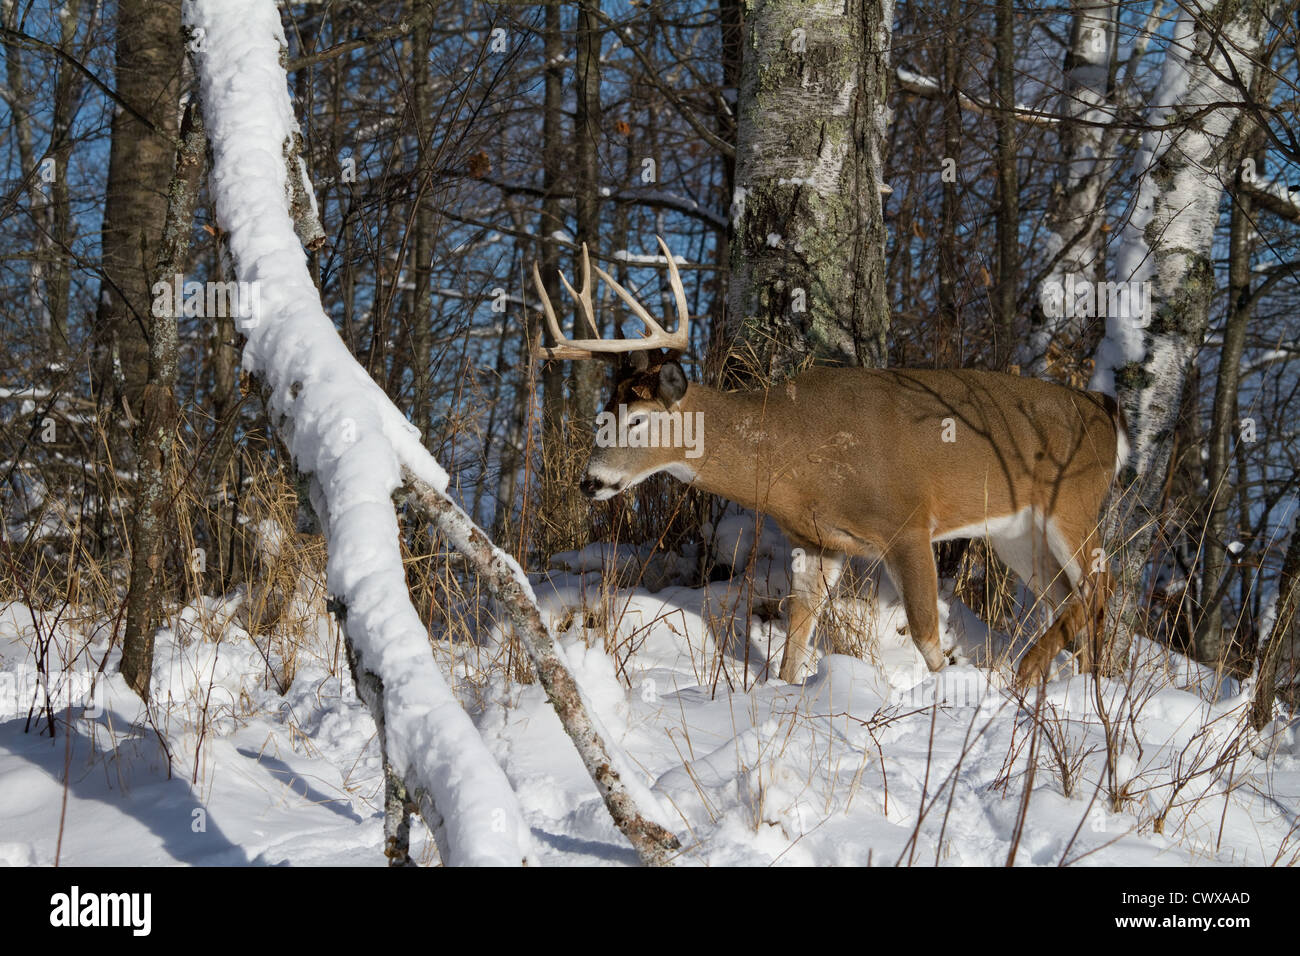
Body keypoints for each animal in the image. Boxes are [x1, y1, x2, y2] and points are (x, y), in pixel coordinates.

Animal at [532, 239, 1128, 688]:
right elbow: (797, 638)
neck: (793, 455)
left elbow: (926, 635)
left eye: (637, 420)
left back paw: (1034, 669)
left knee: (1102, 586)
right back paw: (1076, 679)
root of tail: (1104, 410)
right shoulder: (817, 541)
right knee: (1072, 596)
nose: (590, 482)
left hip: (1073, 503)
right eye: (602, 413)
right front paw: (786, 691)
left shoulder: (908, 521)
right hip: (1015, 532)